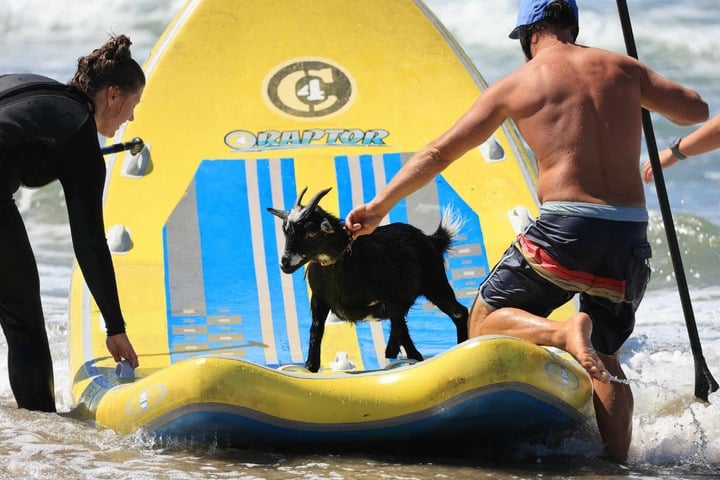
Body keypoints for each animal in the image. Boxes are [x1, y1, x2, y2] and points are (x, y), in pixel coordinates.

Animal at [267, 186, 468, 372]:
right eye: (286, 231)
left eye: (311, 233)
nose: (285, 263)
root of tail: (431, 239)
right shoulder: (319, 298)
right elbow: (316, 329)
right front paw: (310, 366)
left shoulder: (390, 296)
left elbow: (402, 330)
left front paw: (417, 360)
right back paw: (390, 353)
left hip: (435, 283)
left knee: (459, 313)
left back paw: (461, 346)